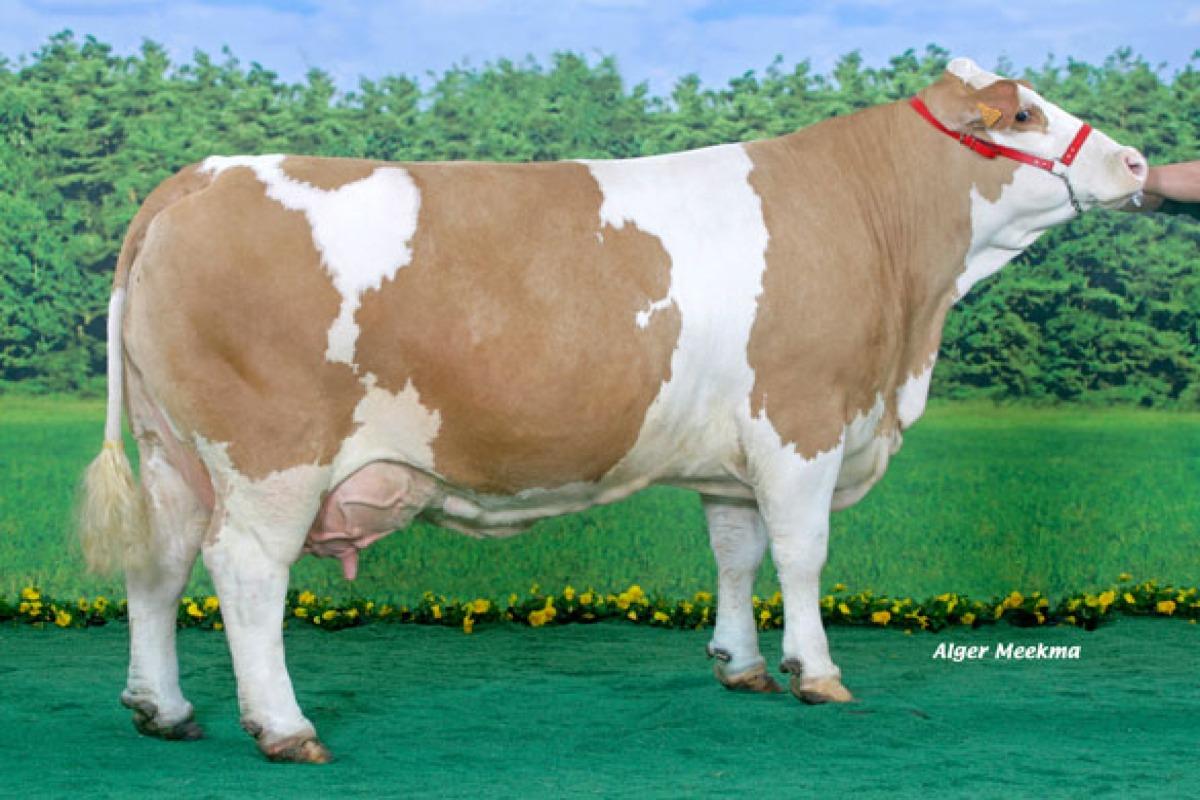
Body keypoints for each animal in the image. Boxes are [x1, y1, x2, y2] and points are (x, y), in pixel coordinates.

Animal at [78, 57, 1147, 763]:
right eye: (1023, 113)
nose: (1137, 163)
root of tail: (202, 174)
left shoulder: (735, 458)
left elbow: (736, 554)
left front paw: (740, 664)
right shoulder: (801, 424)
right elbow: (802, 556)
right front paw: (817, 673)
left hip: (175, 453)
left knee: (159, 566)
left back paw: (162, 709)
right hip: (270, 456)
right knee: (245, 573)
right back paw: (284, 727)